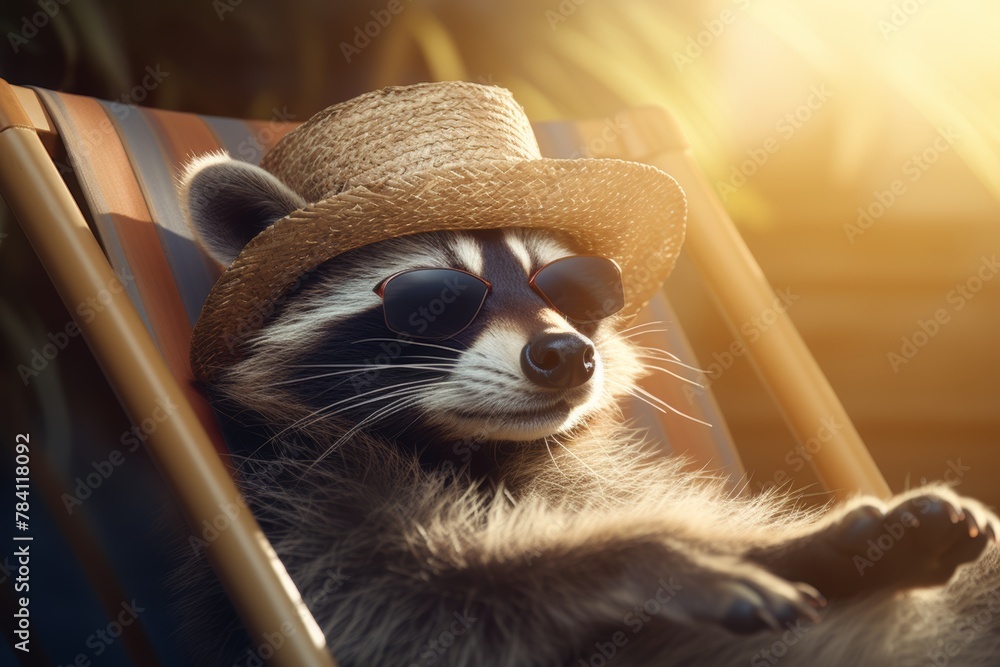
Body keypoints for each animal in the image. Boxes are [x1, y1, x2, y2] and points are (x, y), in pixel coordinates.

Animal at [180, 157, 1000, 667]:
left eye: (567, 286)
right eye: (435, 297)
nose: (567, 354)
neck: (475, 448)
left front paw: (802, 547)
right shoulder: (301, 519)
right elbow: (421, 607)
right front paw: (652, 556)